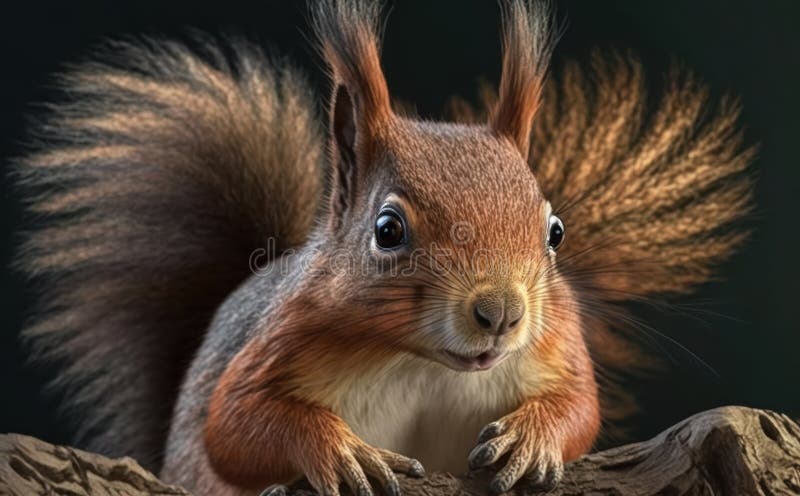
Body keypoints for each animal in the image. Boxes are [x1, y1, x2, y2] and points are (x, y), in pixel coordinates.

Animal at [14, 0, 754, 495]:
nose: (501, 313)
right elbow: (236, 427)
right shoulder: (280, 342)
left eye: (555, 232)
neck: (425, 363)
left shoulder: (557, 339)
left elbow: (581, 406)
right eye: (388, 230)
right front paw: (342, 453)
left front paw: (533, 435)